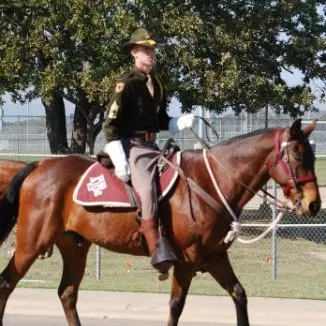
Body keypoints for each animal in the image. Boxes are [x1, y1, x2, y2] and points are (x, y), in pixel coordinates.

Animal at [0, 118, 320, 324]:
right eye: (296, 155)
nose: (313, 204)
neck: (209, 181)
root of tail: (38, 165)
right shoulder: (187, 262)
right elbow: (176, 306)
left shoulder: (215, 258)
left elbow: (239, 295)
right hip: (30, 243)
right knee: (6, 284)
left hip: (74, 246)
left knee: (67, 293)